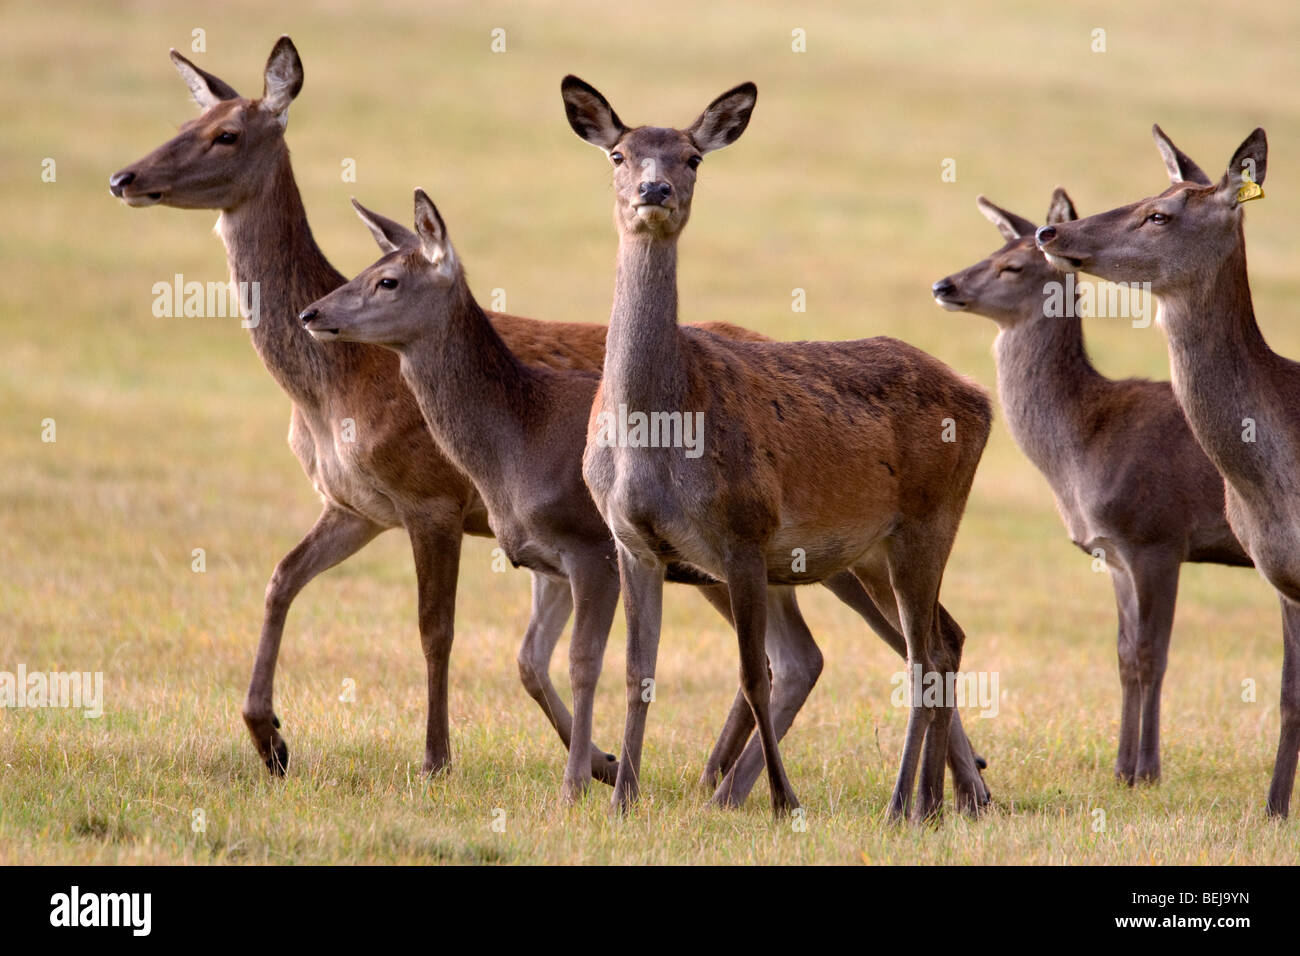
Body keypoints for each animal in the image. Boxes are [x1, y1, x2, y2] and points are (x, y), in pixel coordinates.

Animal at [298, 190, 993, 806]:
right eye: (361, 271)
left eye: (387, 280)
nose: (311, 314)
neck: (515, 443)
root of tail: (980, 399)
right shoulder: (546, 562)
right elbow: (530, 661)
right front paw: (603, 766)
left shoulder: (592, 547)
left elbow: (583, 660)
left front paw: (581, 780)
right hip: (840, 558)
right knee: (883, 645)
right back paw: (945, 794)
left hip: (856, 550)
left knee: (904, 646)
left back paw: (923, 796)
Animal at [563, 76, 993, 820]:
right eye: (619, 154)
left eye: (692, 157)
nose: (655, 190)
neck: (656, 434)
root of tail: (982, 399)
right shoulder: (634, 541)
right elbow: (638, 672)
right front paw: (622, 799)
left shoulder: (744, 530)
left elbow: (753, 674)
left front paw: (784, 801)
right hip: (869, 555)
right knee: (942, 643)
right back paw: (930, 805)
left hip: (928, 522)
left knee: (925, 656)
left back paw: (903, 806)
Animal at [933, 188, 1253, 786]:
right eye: (992, 249)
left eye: (1013, 266)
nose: (945, 285)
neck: (1081, 453)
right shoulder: (1113, 552)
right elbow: (1124, 655)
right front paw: (1121, 768)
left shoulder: (1157, 536)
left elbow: (1153, 654)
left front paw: (1147, 770)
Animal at [1035, 126, 1300, 817]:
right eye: (1146, 193)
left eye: (1160, 214)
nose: (1051, 232)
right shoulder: (1282, 575)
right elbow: (1289, 697)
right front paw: (1273, 810)